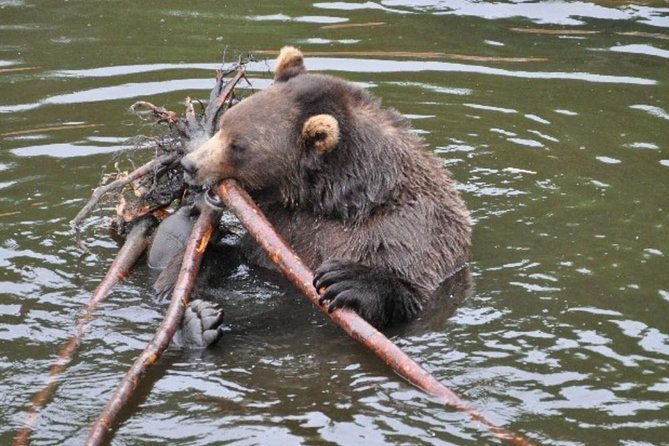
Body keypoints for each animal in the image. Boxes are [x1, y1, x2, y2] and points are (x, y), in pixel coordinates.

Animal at [175, 46, 472, 335]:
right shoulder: (280, 227)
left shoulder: (410, 228)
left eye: (238, 146)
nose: (190, 164)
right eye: (224, 124)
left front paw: (345, 280)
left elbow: (408, 284)